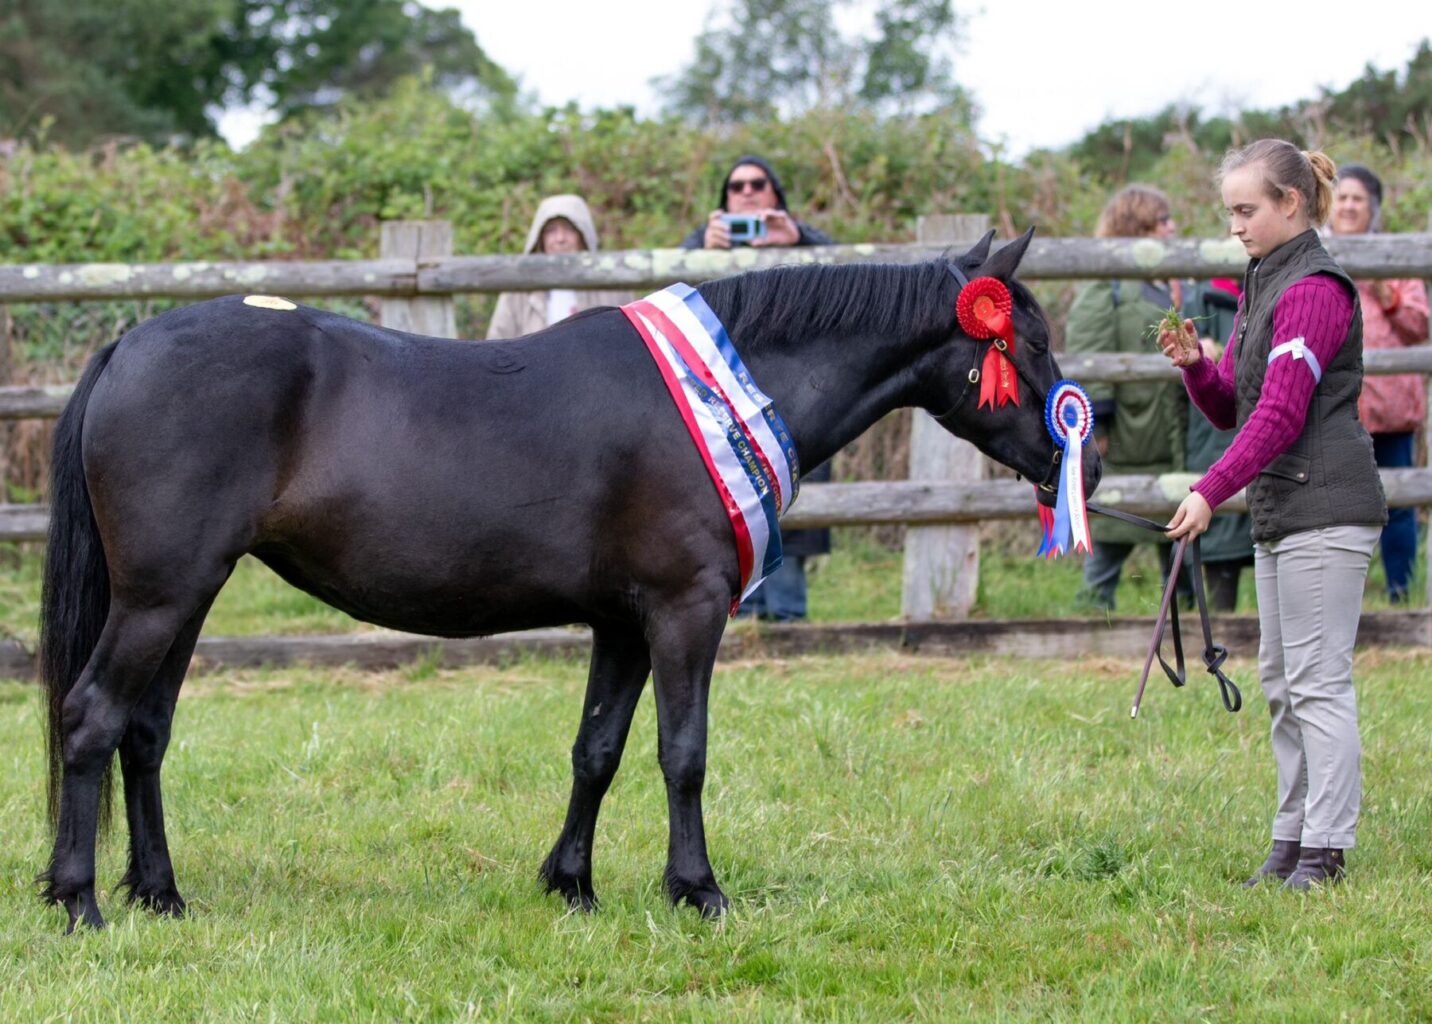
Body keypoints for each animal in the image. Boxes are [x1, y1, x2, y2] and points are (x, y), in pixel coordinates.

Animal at [37, 228, 1099, 931]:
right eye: (1029, 344)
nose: (1074, 461)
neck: (722, 392)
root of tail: (130, 344)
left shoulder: (621, 623)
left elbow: (598, 750)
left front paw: (571, 883)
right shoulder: (684, 611)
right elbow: (683, 753)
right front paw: (697, 889)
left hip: (186, 597)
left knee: (144, 733)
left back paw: (162, 895)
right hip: (162, 594)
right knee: (92, 719)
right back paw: (80, 901)